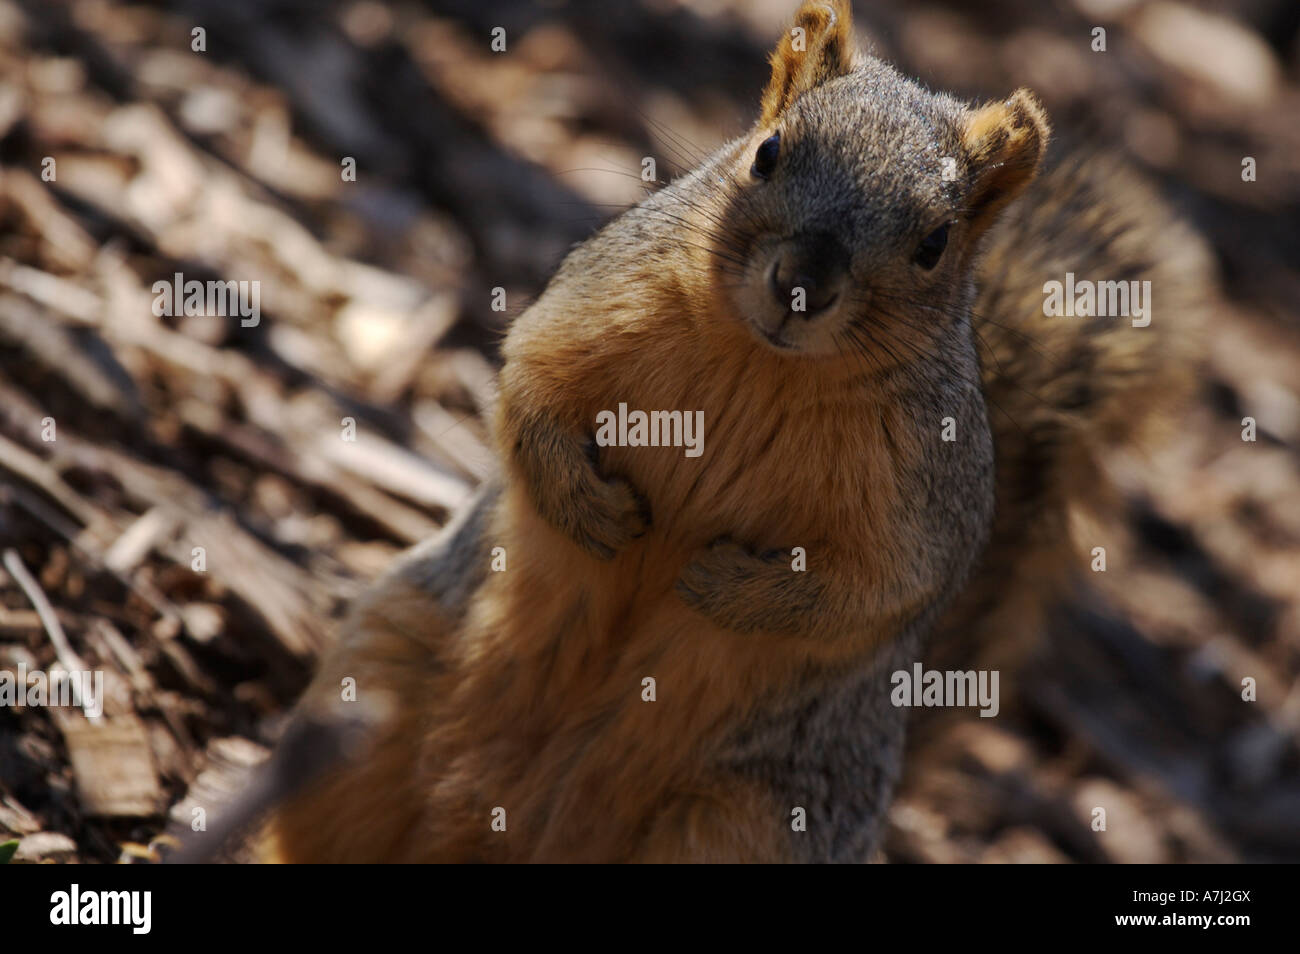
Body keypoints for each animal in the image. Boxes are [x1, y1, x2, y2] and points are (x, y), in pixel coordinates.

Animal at [252, 0, 1209, 863]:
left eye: (936, 242)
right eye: (768, 152)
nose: (802, 282)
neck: (762, 365)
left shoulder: (925, 493)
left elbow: (874, 589)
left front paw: (726, 586)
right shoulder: (588, 307)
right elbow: (528, 393)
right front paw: (589, 507)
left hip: (748, 826)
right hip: (377, 679)